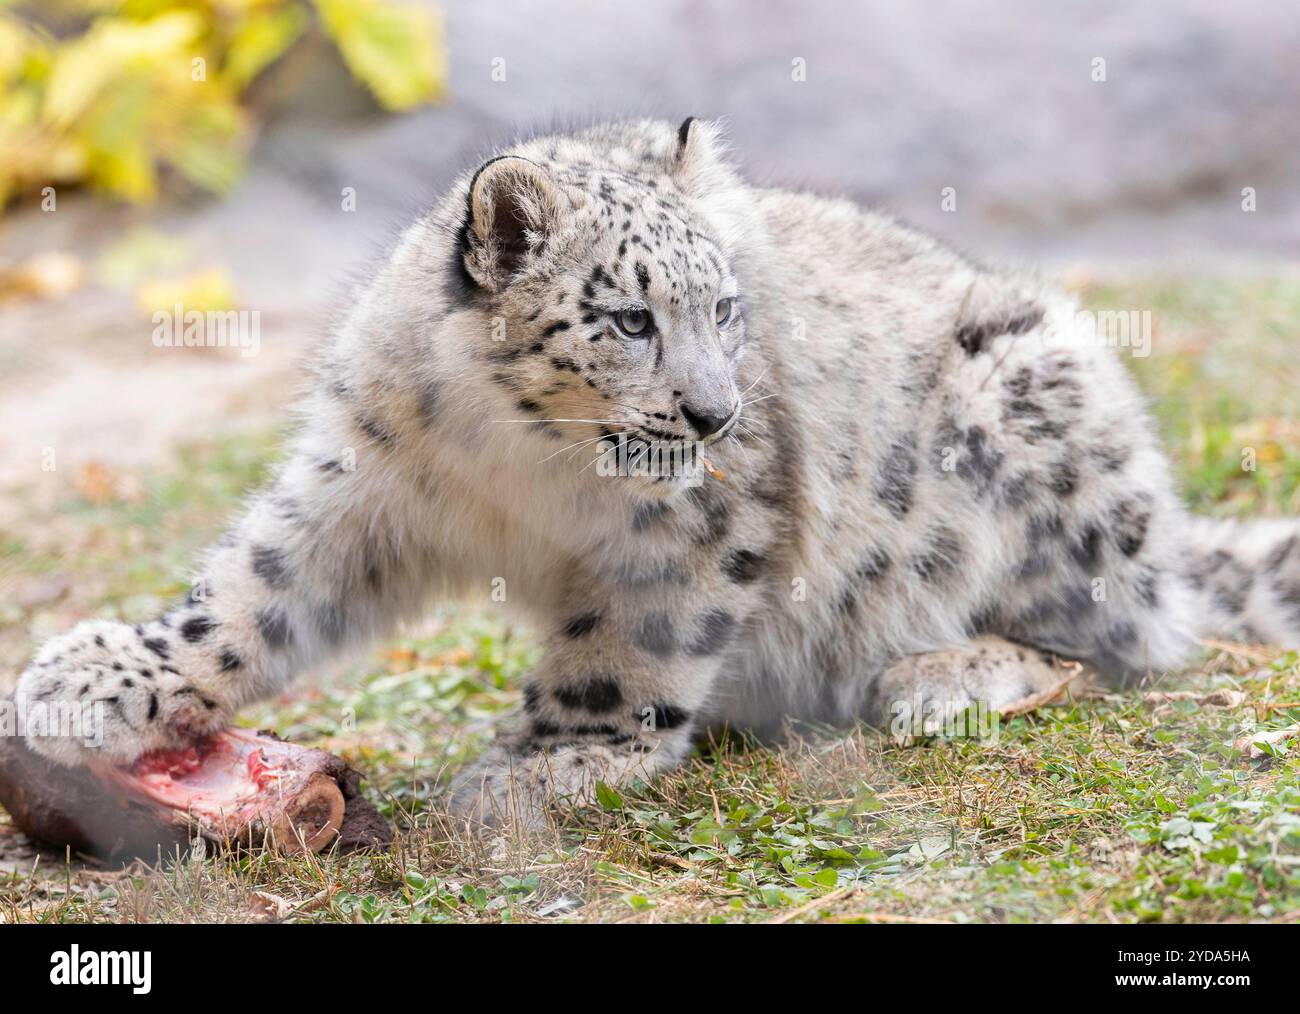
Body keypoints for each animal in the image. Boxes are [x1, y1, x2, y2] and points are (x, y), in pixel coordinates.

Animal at [16, 118, 1300, 826]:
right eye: (630, 318)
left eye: (725, 308)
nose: (715, 409)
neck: (514, 461)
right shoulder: (363, 486)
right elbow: (258, 588)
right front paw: (97, 680)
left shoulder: (700, 530)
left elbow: (630, 647)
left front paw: (557, 762)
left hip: (1028, 424)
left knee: (1125, 639)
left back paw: (937, 676)